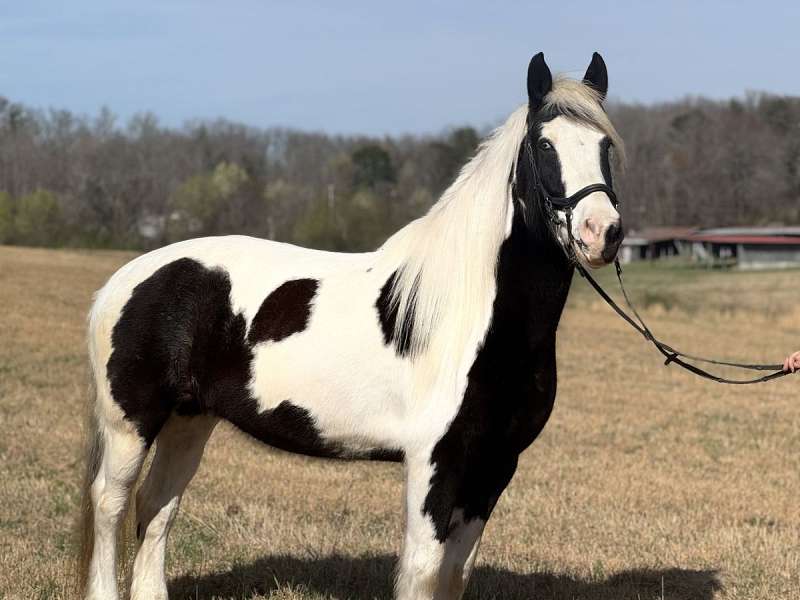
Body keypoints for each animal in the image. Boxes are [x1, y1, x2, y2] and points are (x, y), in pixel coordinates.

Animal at [77, 51, 625, 600]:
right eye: (545, 145)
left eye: (605, 147)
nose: (603, 232)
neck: (470, 321)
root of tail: (121, 281)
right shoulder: (435, 462)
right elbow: (424, 569)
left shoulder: (493, 466)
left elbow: (455, 572)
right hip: (131, 424)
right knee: (111, 503)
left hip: (188, 420)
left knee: (157, 504)